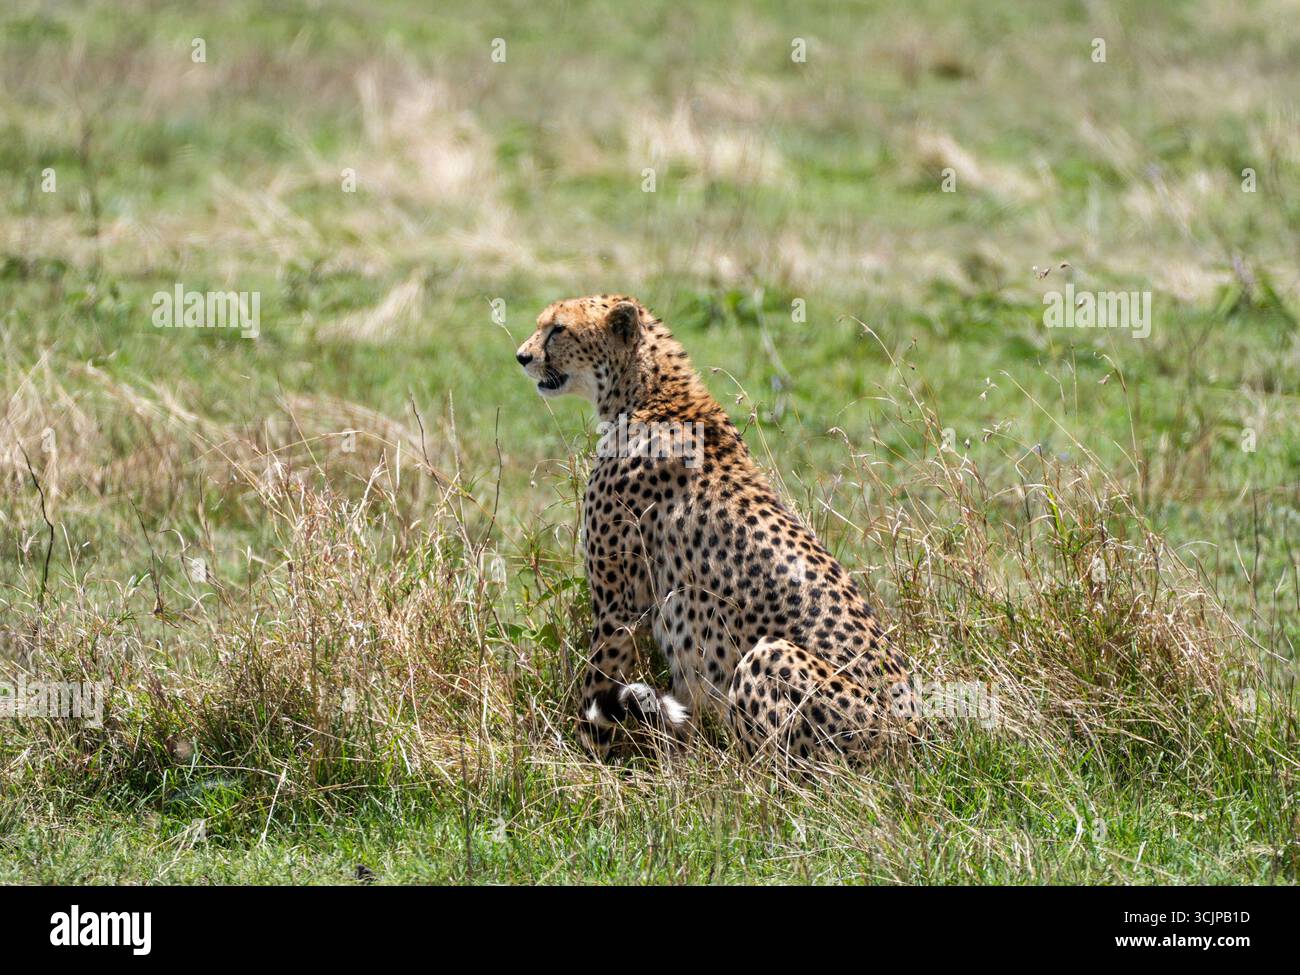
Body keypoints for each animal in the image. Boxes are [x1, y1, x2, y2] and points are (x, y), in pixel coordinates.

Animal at [515, 294, 918, 764]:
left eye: (558, 329)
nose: (522, 356)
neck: (648, 392)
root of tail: (913, 735)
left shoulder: (619, 607)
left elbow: (598, 683)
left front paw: (587, 759)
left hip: (773, 657)